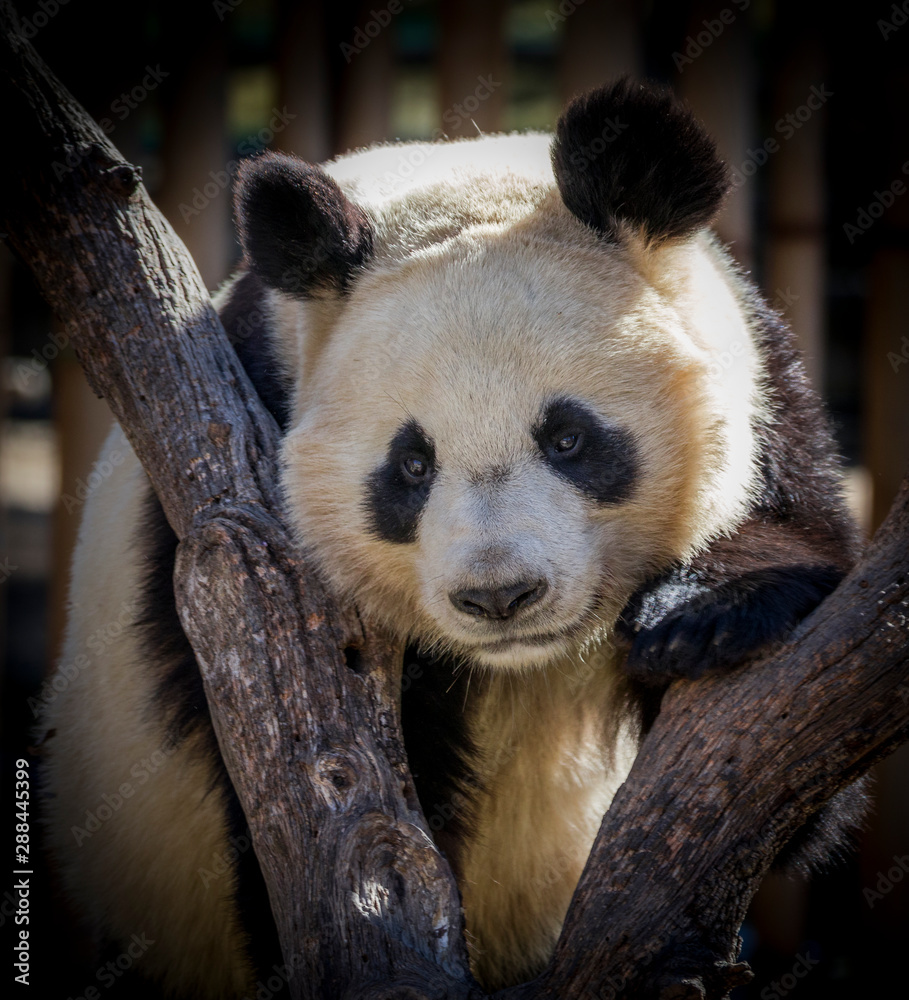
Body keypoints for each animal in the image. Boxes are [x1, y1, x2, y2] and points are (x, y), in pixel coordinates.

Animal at [40, 79, 866, 997]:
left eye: (567, 438)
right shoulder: (225, 496)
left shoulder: (764, 389)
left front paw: (707, 615)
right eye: (410, 465)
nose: (499, 596)